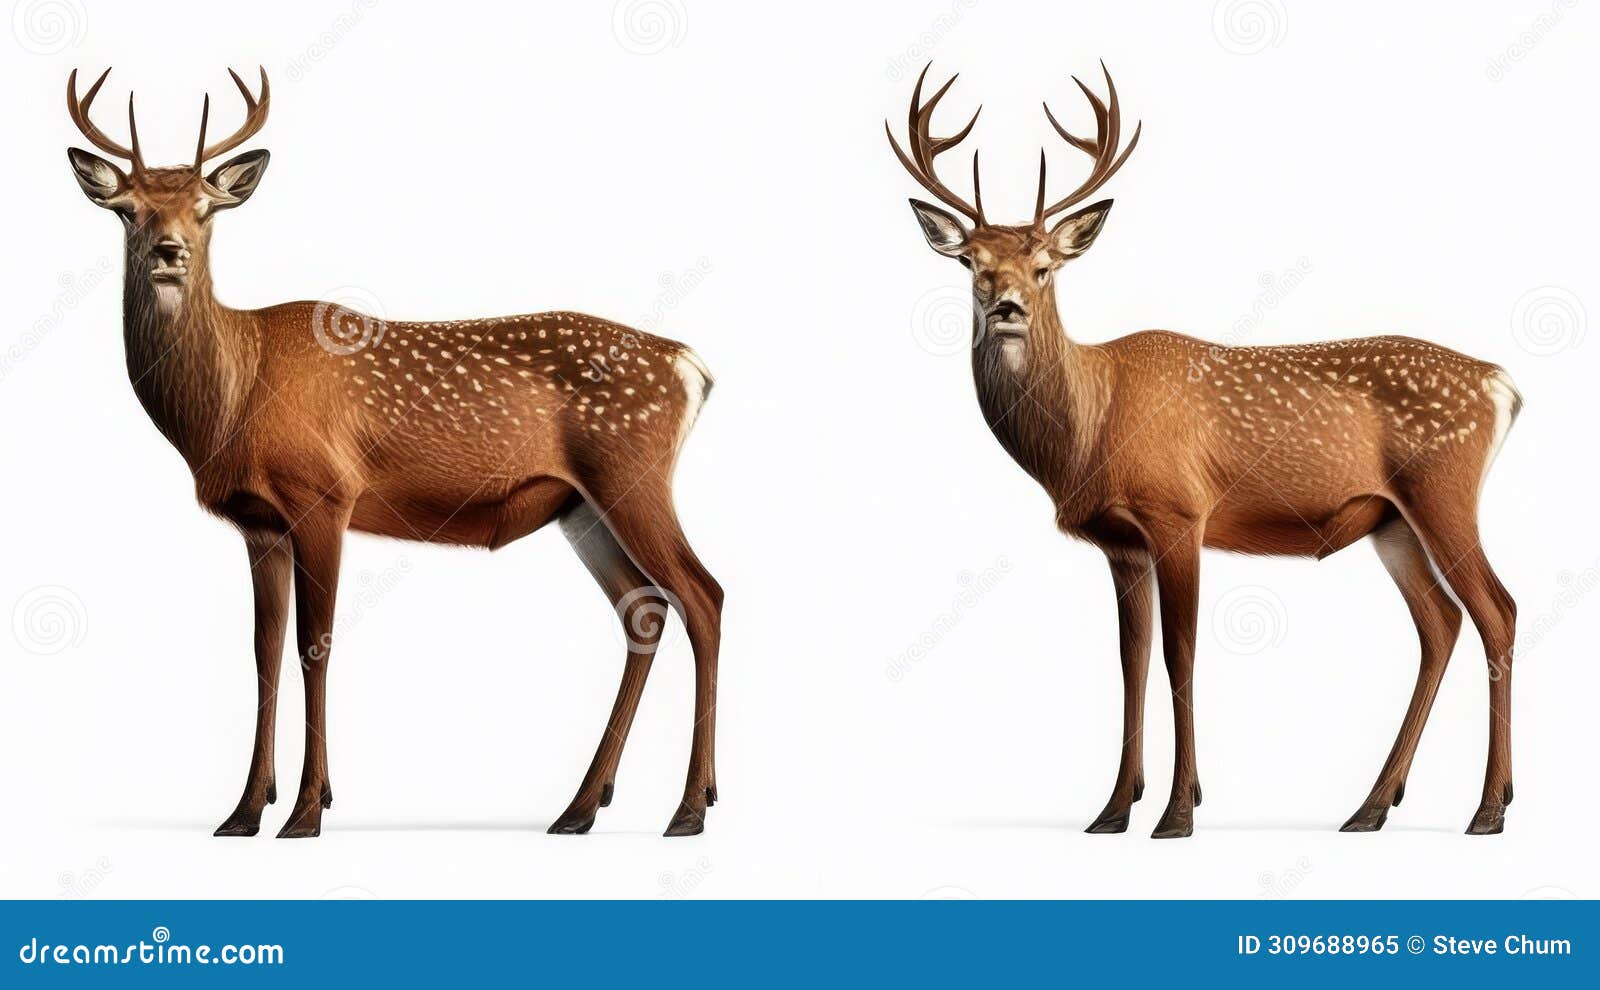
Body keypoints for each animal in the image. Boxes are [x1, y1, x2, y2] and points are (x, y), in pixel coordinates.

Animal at [65, 67, 723, 838]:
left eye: (206, 209)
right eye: (128, 210)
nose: (169, 252)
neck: (233, 397)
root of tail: (691, 366)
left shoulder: (324, 494)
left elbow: (313, 645)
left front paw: (307, 811)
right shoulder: (259, 523)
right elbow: (262, 652)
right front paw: (243, 812)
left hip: (632, 472)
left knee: (703, 595)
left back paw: (689, 807)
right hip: (580, 507)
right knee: (644, 610)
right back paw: (581, 807)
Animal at [888, 63, 1522, 837]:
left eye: (1045, 267)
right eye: (971, 262)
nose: (1007, 306)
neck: (1090, 428)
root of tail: (1502, 384)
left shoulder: (1178, 512)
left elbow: (1180, 655)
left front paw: (1177, 811)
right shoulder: (1121, 542)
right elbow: (1130, 660)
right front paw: (1112, 810)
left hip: (1442, 488)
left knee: (1498, 611)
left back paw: (1487, 809)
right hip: (1392, 520)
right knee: (1441, 624)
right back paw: (1372, 806)